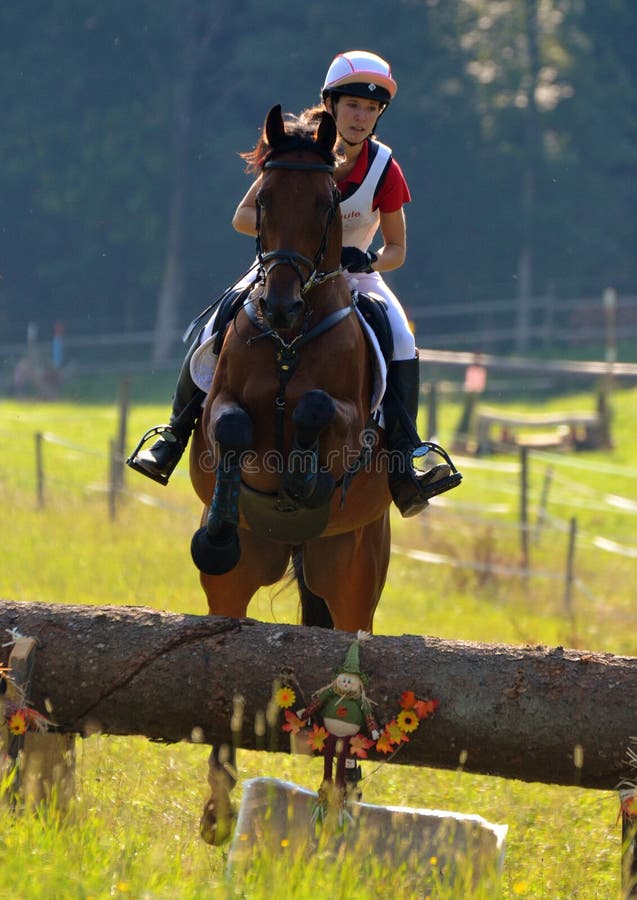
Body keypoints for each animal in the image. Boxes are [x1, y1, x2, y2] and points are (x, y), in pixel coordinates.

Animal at [188, 104, 393, 843]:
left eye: (329, 204)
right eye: (266, 200)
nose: (277, 305)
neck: (287, 341)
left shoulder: (352, 424)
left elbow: (313, 410)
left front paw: (303, 479)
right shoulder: (221, 404)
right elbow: (229, 428)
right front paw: (216, 529)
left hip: (351, 572)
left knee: (349, 667)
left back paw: (340, 799)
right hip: (236, 585)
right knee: (221, 660)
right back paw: (219, 811)